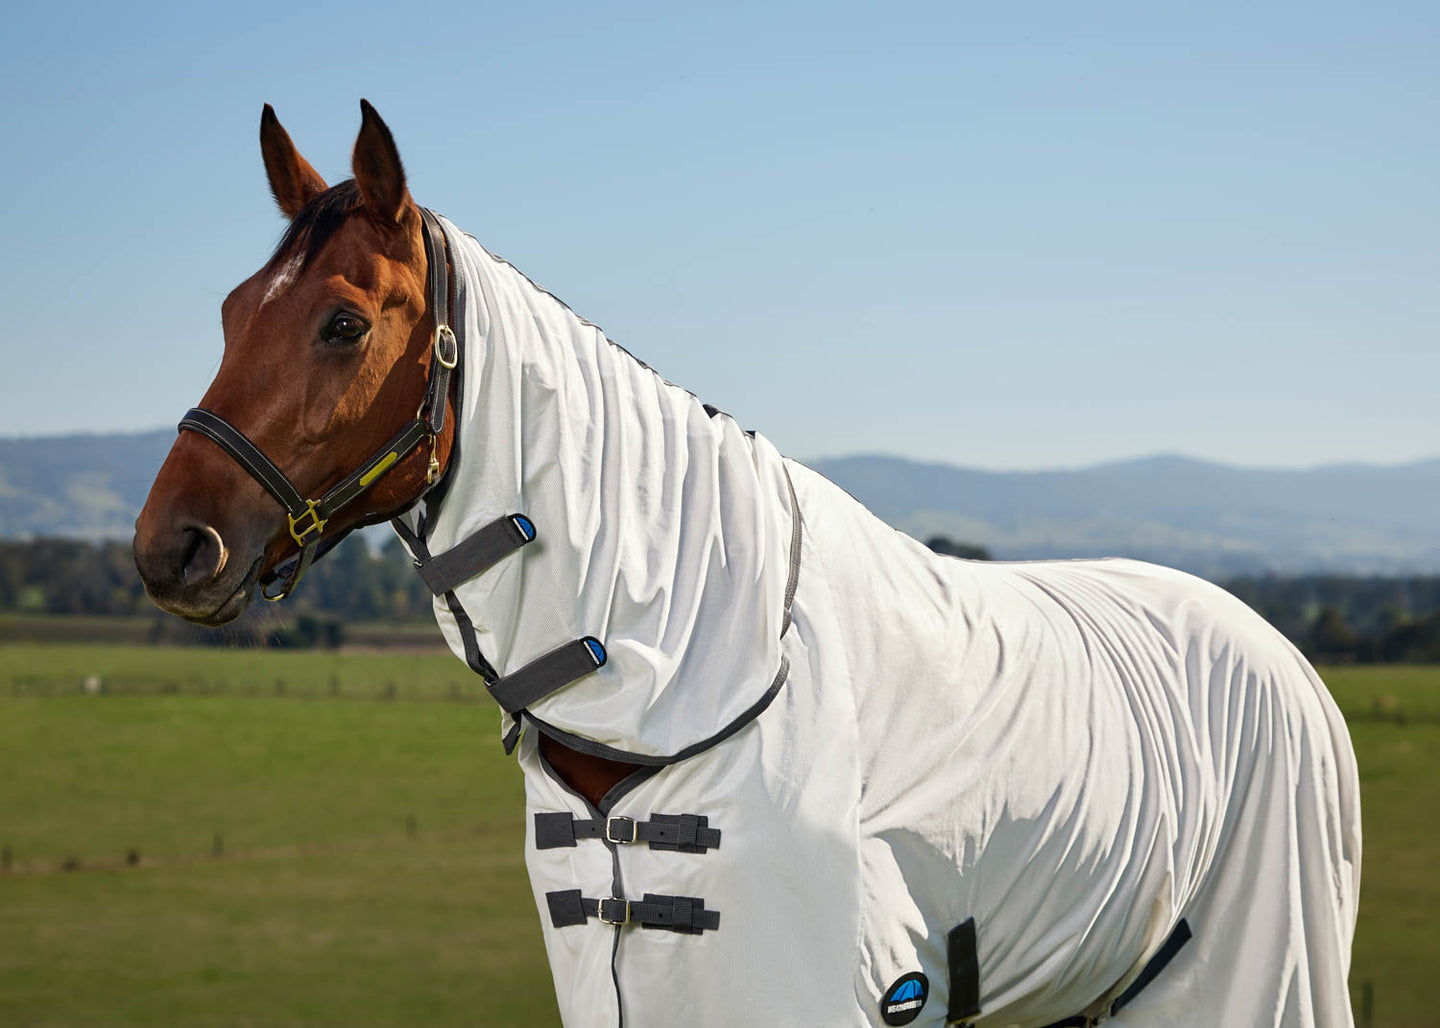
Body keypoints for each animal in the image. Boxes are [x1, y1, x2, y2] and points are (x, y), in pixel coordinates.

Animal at [135, 102, 1361, 1028]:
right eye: (234, 311)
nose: (171, 547)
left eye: (342, 324)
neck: (687, 657)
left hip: (1250, 977)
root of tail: (1280, 653)